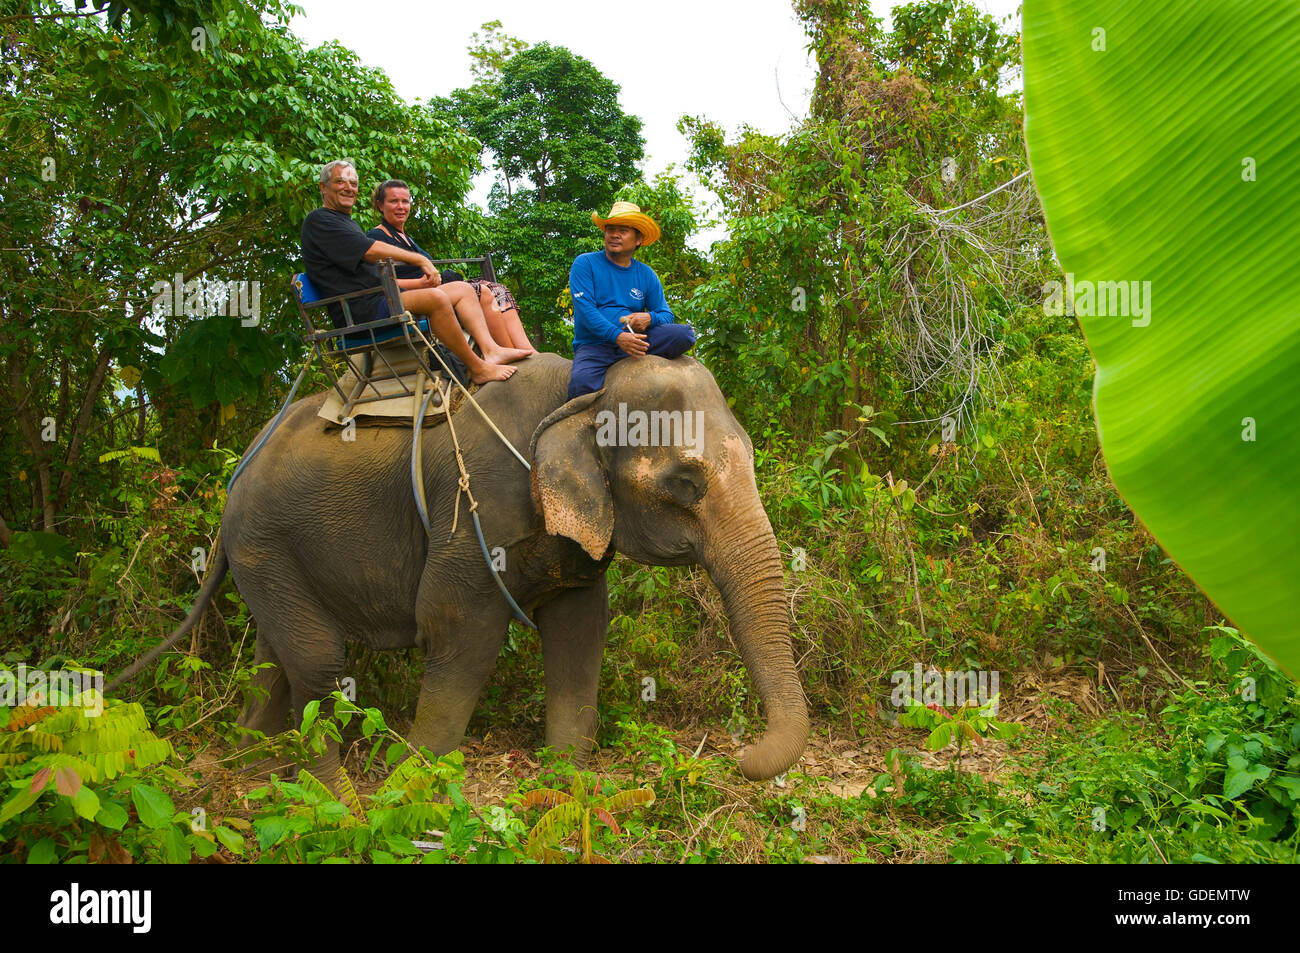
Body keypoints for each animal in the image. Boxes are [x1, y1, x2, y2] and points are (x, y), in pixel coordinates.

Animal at [113, 350, 808, 781]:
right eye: (685, 482)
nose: (735, 755)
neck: (582, 390)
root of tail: (237, 473)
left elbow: (581, 627)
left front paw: (565, 779)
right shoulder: (476, 508)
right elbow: (457, 625)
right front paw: (413, 781)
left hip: (269, 555)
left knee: (275, 658)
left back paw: (261, 778)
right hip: (264, 540)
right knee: (316, 661)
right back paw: (333, 799)